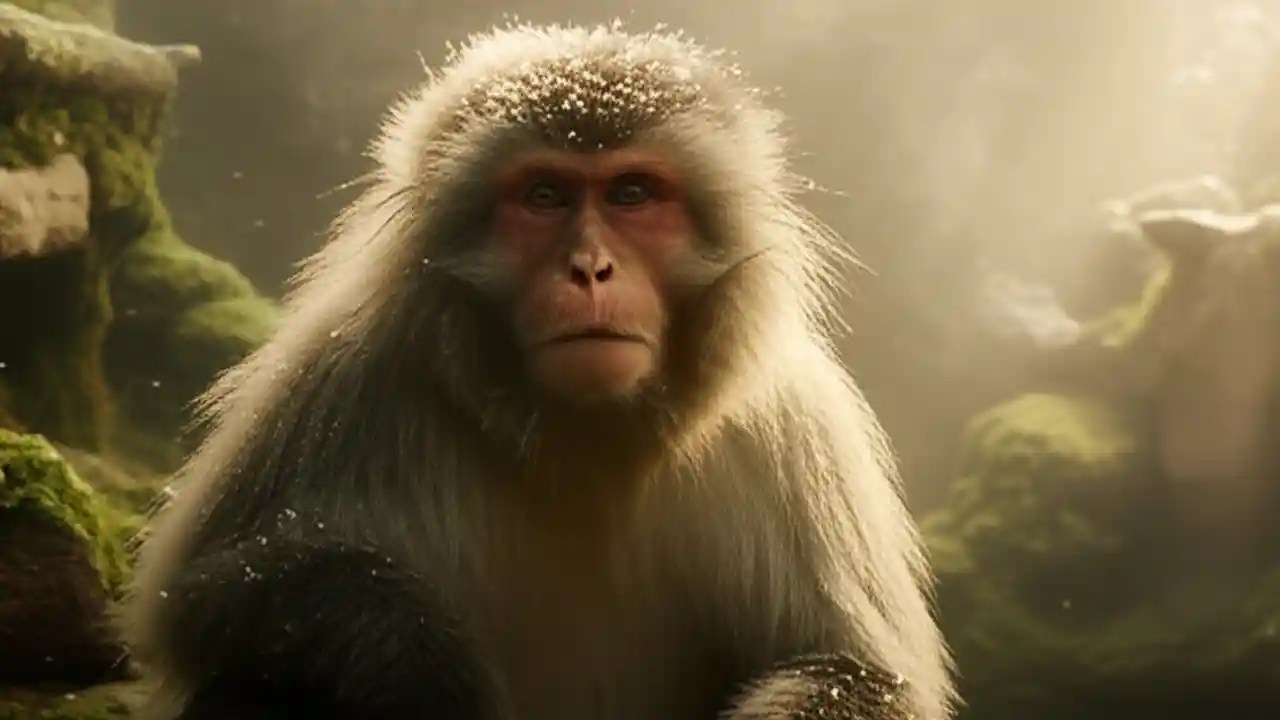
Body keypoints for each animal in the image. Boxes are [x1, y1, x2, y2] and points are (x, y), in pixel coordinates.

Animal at [124, 22, 955, 720]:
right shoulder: (345, 376)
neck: (584, 441)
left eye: (632, 194)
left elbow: (852, 670)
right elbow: (212, 594)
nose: (590, 268)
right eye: (545, 196)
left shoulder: (792, 429)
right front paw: (434, 674)